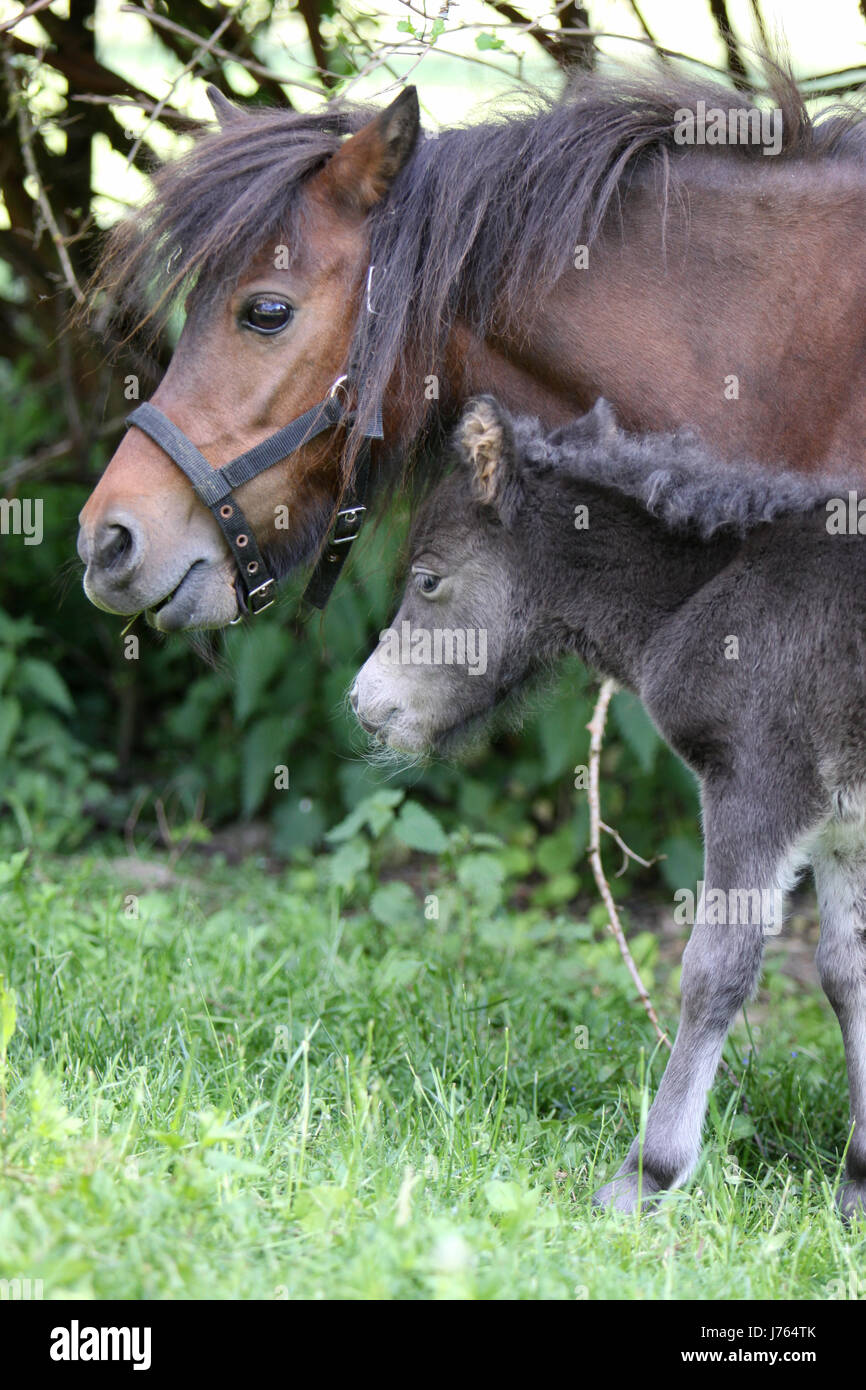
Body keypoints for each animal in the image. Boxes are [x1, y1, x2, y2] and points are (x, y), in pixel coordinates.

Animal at [350, 394, 866, 1216]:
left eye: (429, 581)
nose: (365, 702)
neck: (708, 591)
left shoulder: (754, 783)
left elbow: (716, 969)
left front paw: (647, 1174)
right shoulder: (843, 828)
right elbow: (848, 974)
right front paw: (858, 1183)